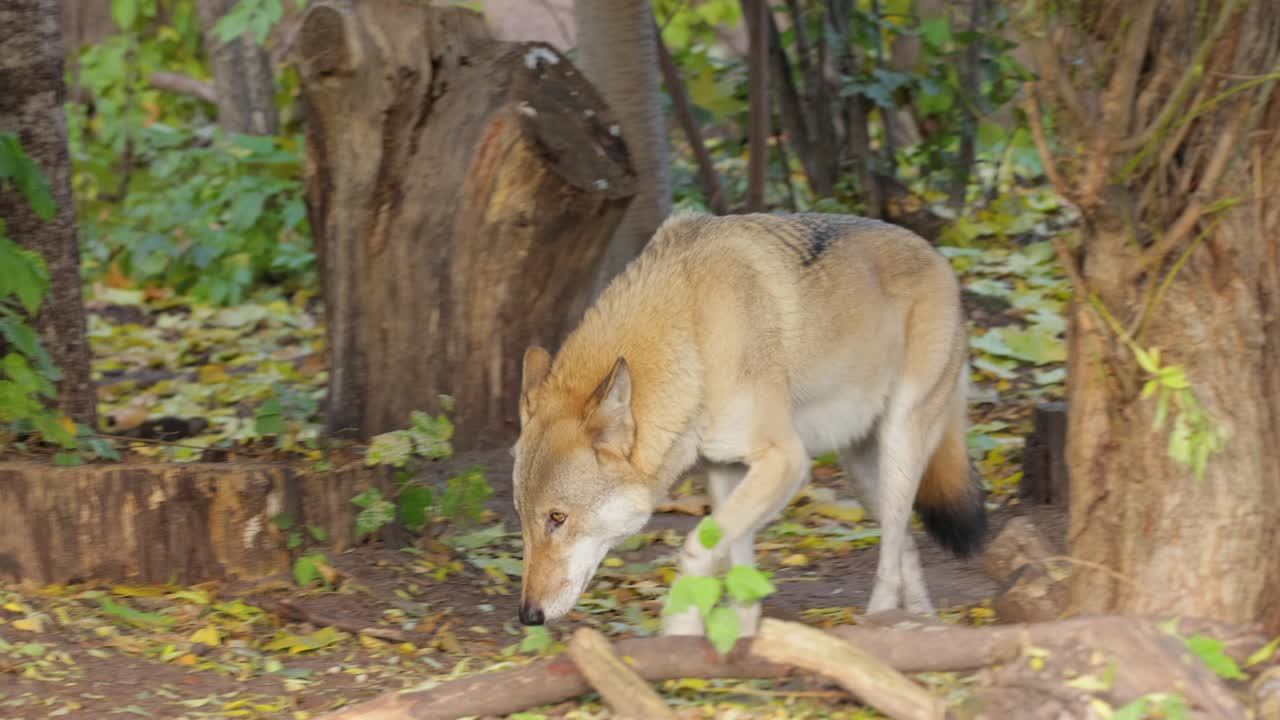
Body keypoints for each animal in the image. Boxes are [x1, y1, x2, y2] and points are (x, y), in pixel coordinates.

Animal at [510, 211, 987, 636]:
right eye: (523, 518)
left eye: (557, 518)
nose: (528, 615)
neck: (694, 333)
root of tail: (940, 259)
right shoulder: (726, 469)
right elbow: (738, 570)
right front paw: (741, 641)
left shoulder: (785, 461)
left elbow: (695, 550)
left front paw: (680, 632)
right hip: (866, 478)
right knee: (904, 538)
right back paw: (921, 624)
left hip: (899, 446)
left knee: (890, 554)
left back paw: (882, 625)